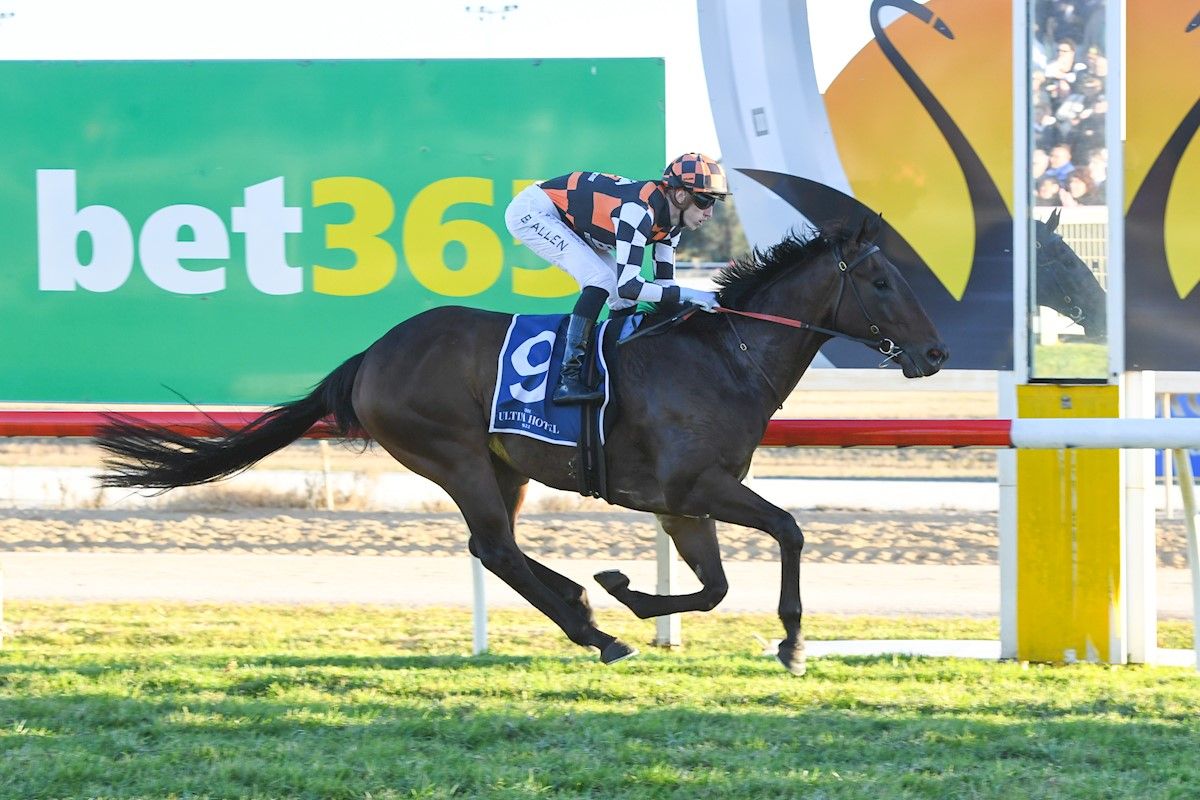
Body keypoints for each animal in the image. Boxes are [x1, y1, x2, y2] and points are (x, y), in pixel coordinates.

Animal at [96, 215, 949, 675]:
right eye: (881, 284)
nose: (937, 354)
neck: (724, 357)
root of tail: (370, 355)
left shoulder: (682, 506)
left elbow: (712, 587)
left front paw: (626, 588)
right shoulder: (694, 488)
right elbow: (790, 531)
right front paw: (792, 644)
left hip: (505, 467)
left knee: (495, 546)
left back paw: (582, 602)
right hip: (457, 455)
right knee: (496, 546)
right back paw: (595, 630)